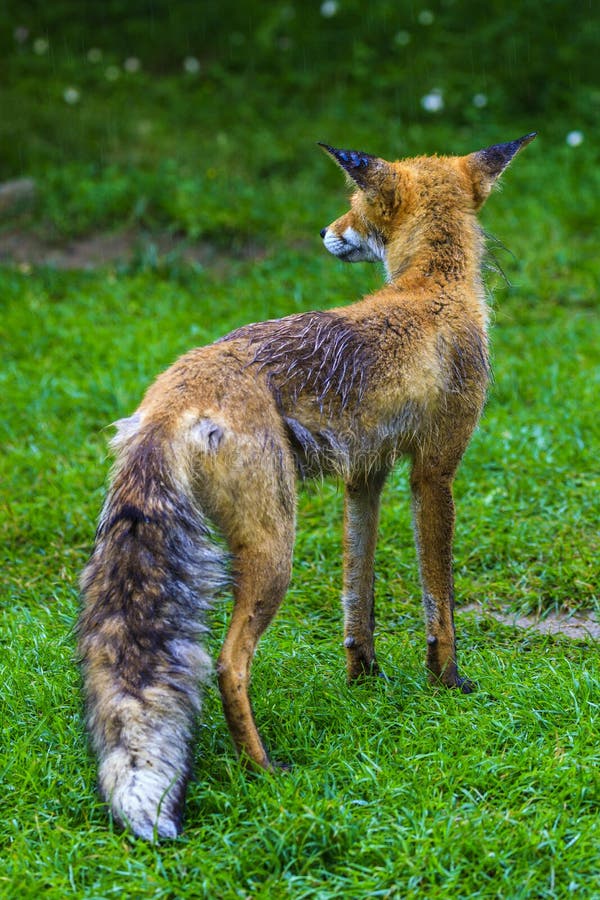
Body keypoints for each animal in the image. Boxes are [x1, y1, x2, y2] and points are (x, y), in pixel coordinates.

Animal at [79, 133, 536, 840]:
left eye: (353, 203)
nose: (326, 231)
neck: (433, 288)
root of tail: (171, 398)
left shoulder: (365, 477)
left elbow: (358, 595)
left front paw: (364, 678)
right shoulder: (436, 470)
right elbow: (440, 598)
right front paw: (447, 682)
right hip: (276, 547)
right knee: (226, 664)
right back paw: (265, 769)